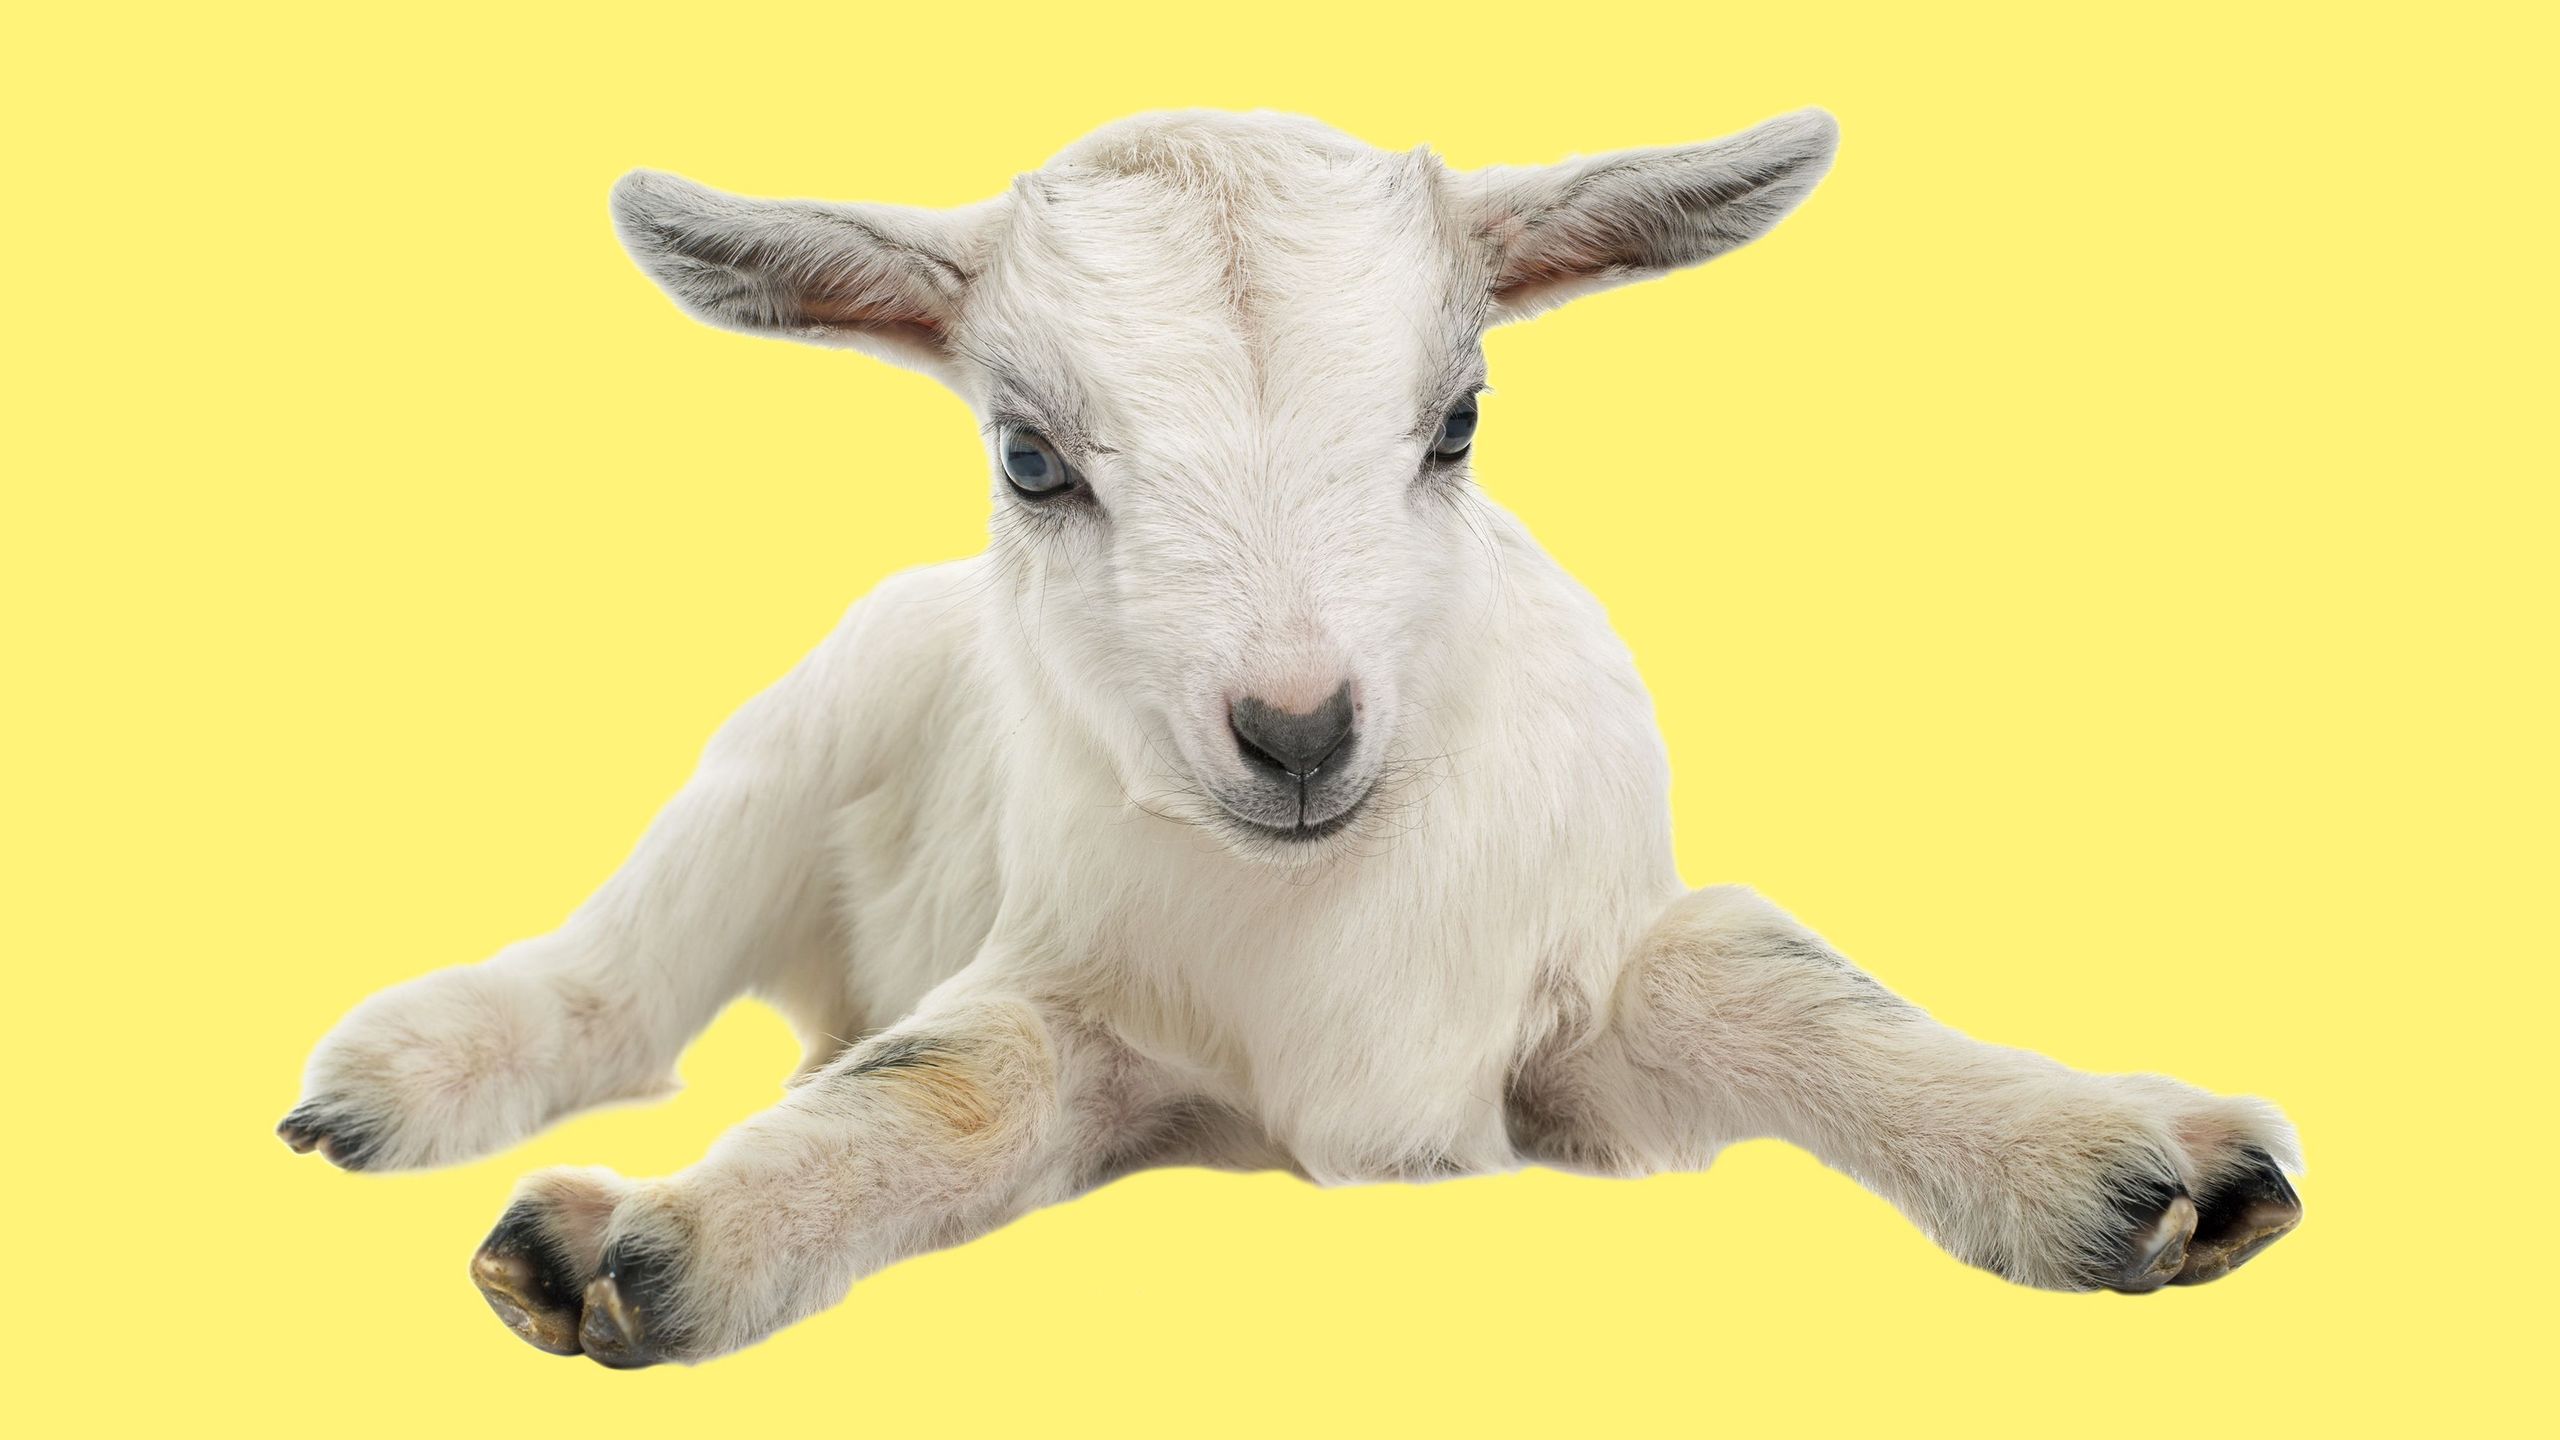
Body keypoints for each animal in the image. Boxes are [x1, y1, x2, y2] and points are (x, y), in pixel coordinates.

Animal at [279, 108, 2304, 1367]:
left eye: (1460, 420)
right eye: (1031, 456)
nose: (1297, 732)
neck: (1328, 911)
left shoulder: (1576, 1018)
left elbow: (1791, 985)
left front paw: (2128, 1165)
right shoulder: (1083, 1000)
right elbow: (939, 1082)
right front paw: (645, 1246)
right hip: (776, 758)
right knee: (625, 979)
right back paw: (403, 1075)